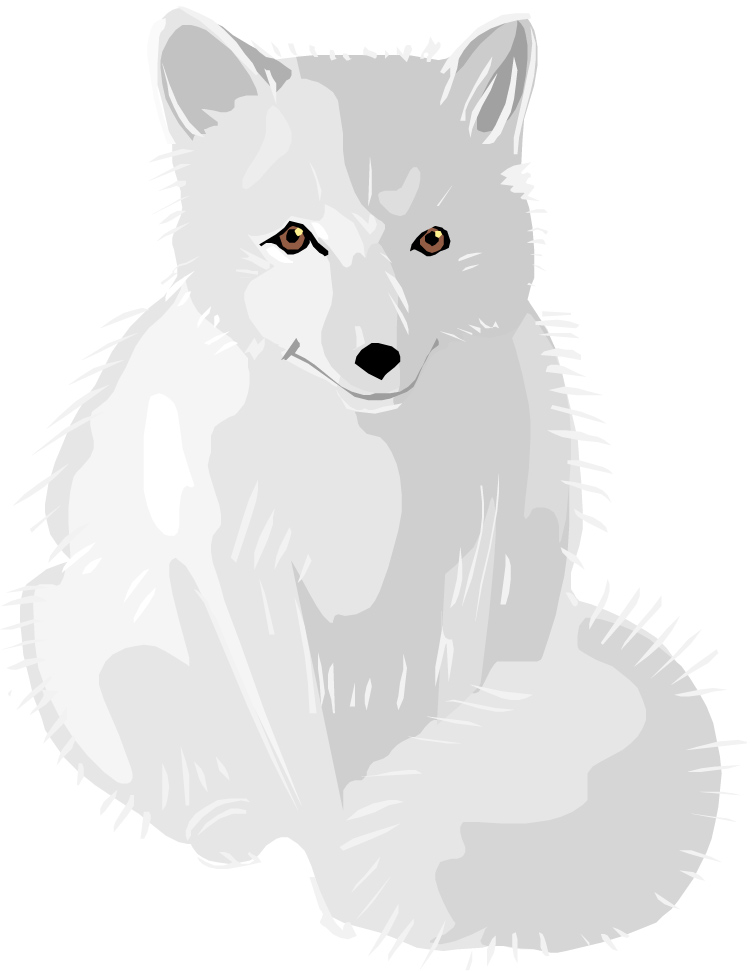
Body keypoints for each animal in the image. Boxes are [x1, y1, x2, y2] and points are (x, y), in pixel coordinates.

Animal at [16, 6, 722, 956]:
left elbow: (442, 726)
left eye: (433, 240)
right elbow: (305, 769)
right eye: (294, 238)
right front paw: (335, 887)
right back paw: (230, 827)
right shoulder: (250, 583)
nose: (377, 357)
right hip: (86, 631)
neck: (363, 468)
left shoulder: (469, 570)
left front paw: (361, 875)